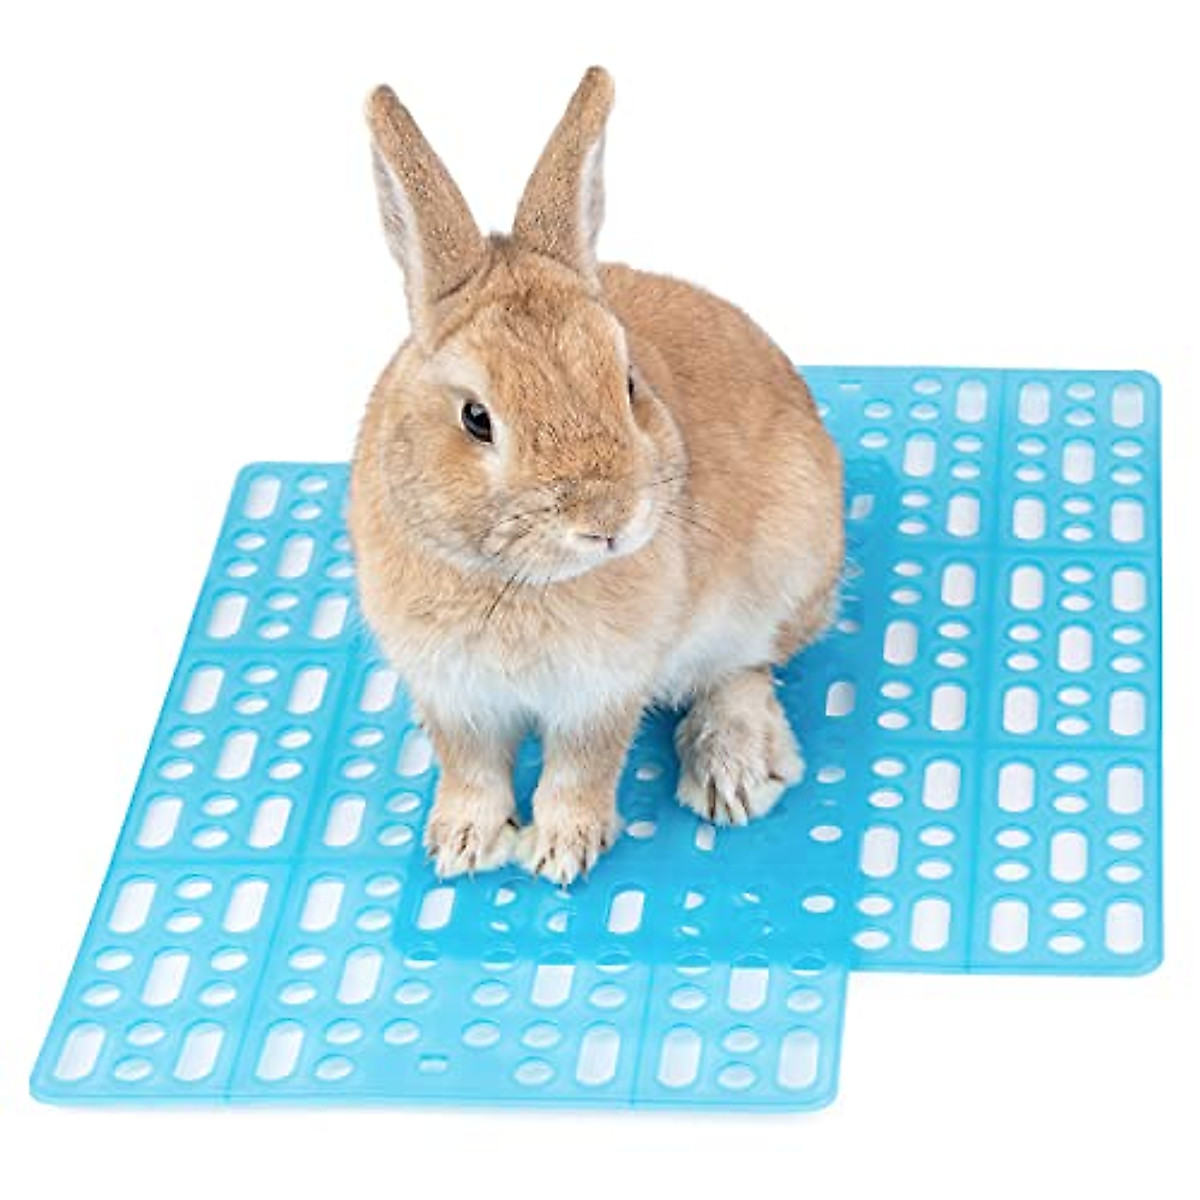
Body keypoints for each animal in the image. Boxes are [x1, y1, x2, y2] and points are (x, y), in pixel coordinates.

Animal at [349, 66, 844, 885]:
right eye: (476, 418)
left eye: (628, 383)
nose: (608, 522)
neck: (515, 582)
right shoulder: (452, 695)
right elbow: (470, 769)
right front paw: (460, 846)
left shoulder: (603, 693)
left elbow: (582, 770)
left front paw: (562, 852)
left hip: (784, 569)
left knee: (744, 668)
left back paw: (734, 772)